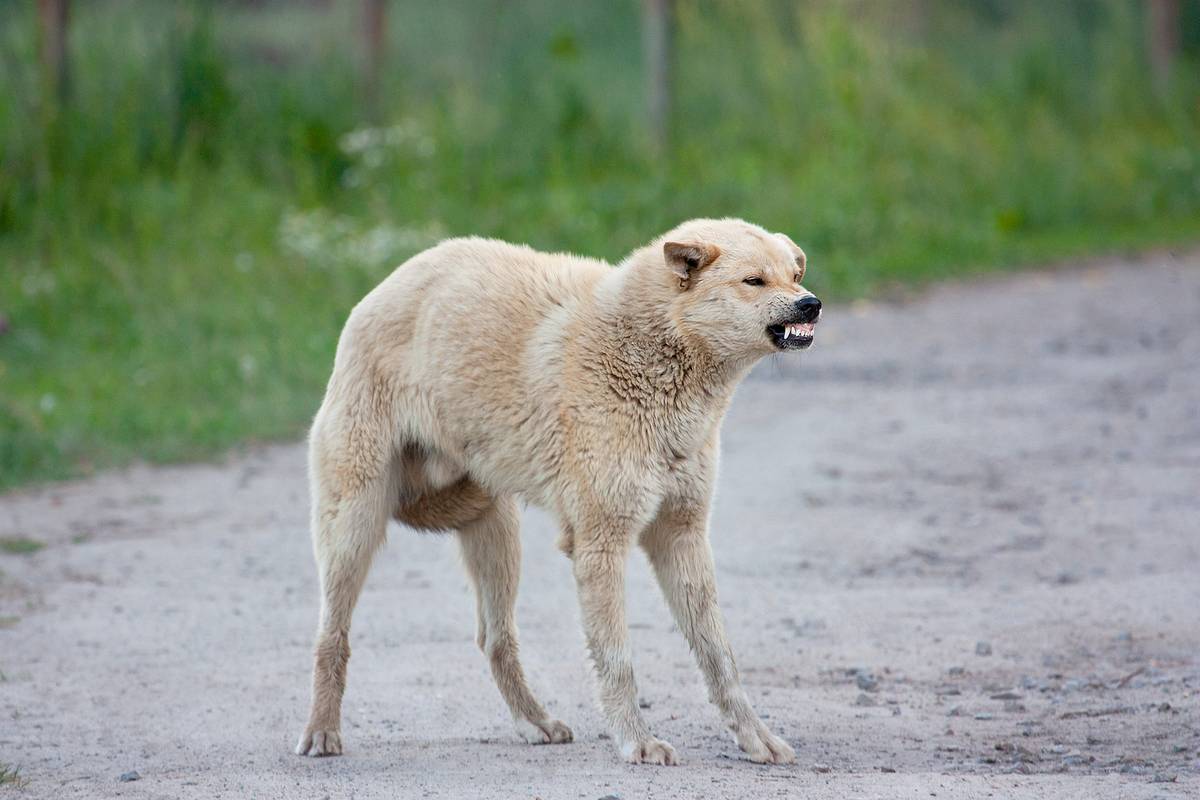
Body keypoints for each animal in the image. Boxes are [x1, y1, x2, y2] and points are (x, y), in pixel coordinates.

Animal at [298, 217, 820, 762]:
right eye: (754, 281)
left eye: (795, 275)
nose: (812, 304)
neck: (647, 353)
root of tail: (379, 291)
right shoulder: (600, 544)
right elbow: (618, 661)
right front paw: (637, 742)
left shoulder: (682, 535)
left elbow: (721, 659)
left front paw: (756, 739)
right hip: (354, 530)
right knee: (331, 636)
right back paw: (321, 733)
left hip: (497, 534)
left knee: (495, 640)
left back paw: (536, 722)